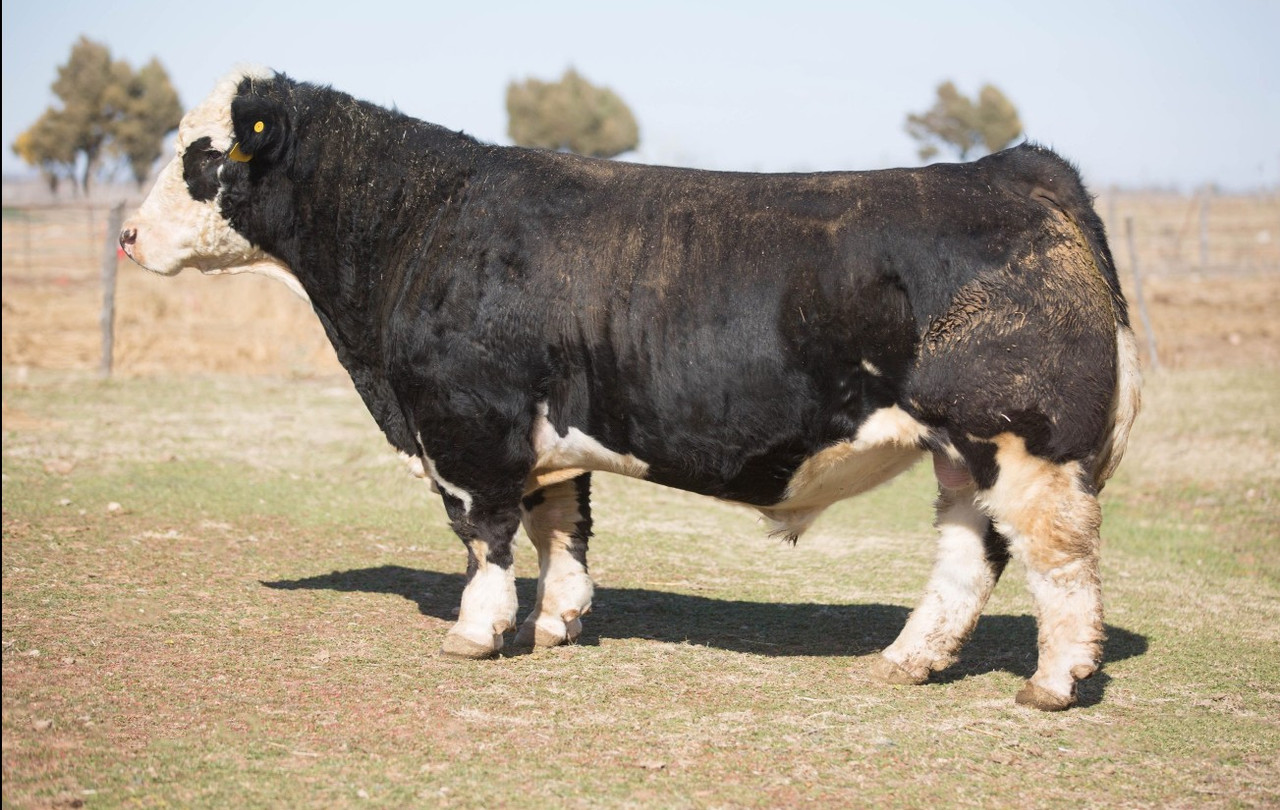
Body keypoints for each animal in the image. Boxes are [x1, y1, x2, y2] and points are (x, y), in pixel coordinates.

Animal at [121, 67, 1141, 711]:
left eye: (205, 155)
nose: (127, 237)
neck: (418, 220)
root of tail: (1019, 168)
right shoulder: (547, 432)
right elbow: (560, 526)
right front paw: (557, 624)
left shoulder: (468, 425)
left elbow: (486, 536)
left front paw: (476, 633)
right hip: (964, 454)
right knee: (970, 557)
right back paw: (906, 661)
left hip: (1021, 442)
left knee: (1059, 563)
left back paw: (1053, 684)